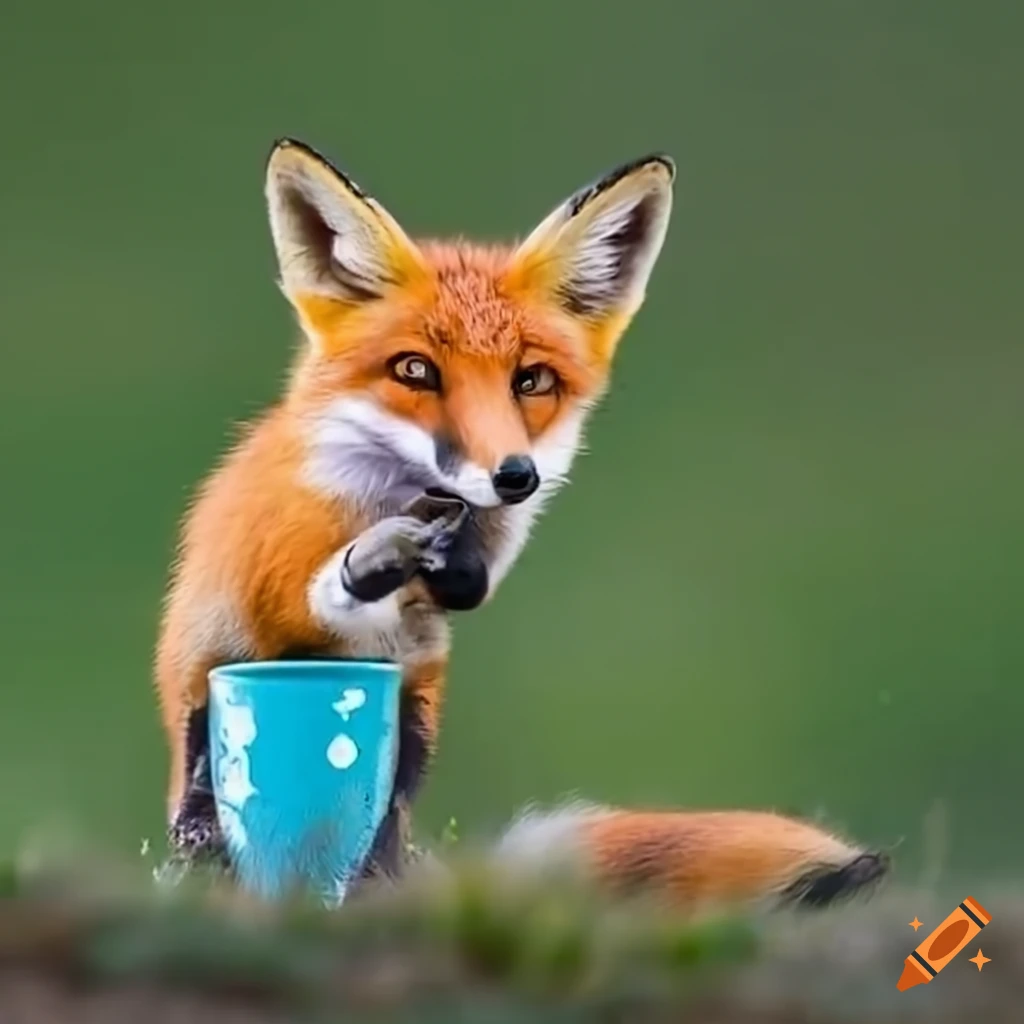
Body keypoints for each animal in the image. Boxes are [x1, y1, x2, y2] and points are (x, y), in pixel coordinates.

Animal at [155, 138, 888, 908]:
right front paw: (374, 560)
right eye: (414, 371)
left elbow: (466, 583)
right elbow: (312, 587)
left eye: (530, 381)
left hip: (418, 701)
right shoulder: (280, 559)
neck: (397, 494)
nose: (515, 476)